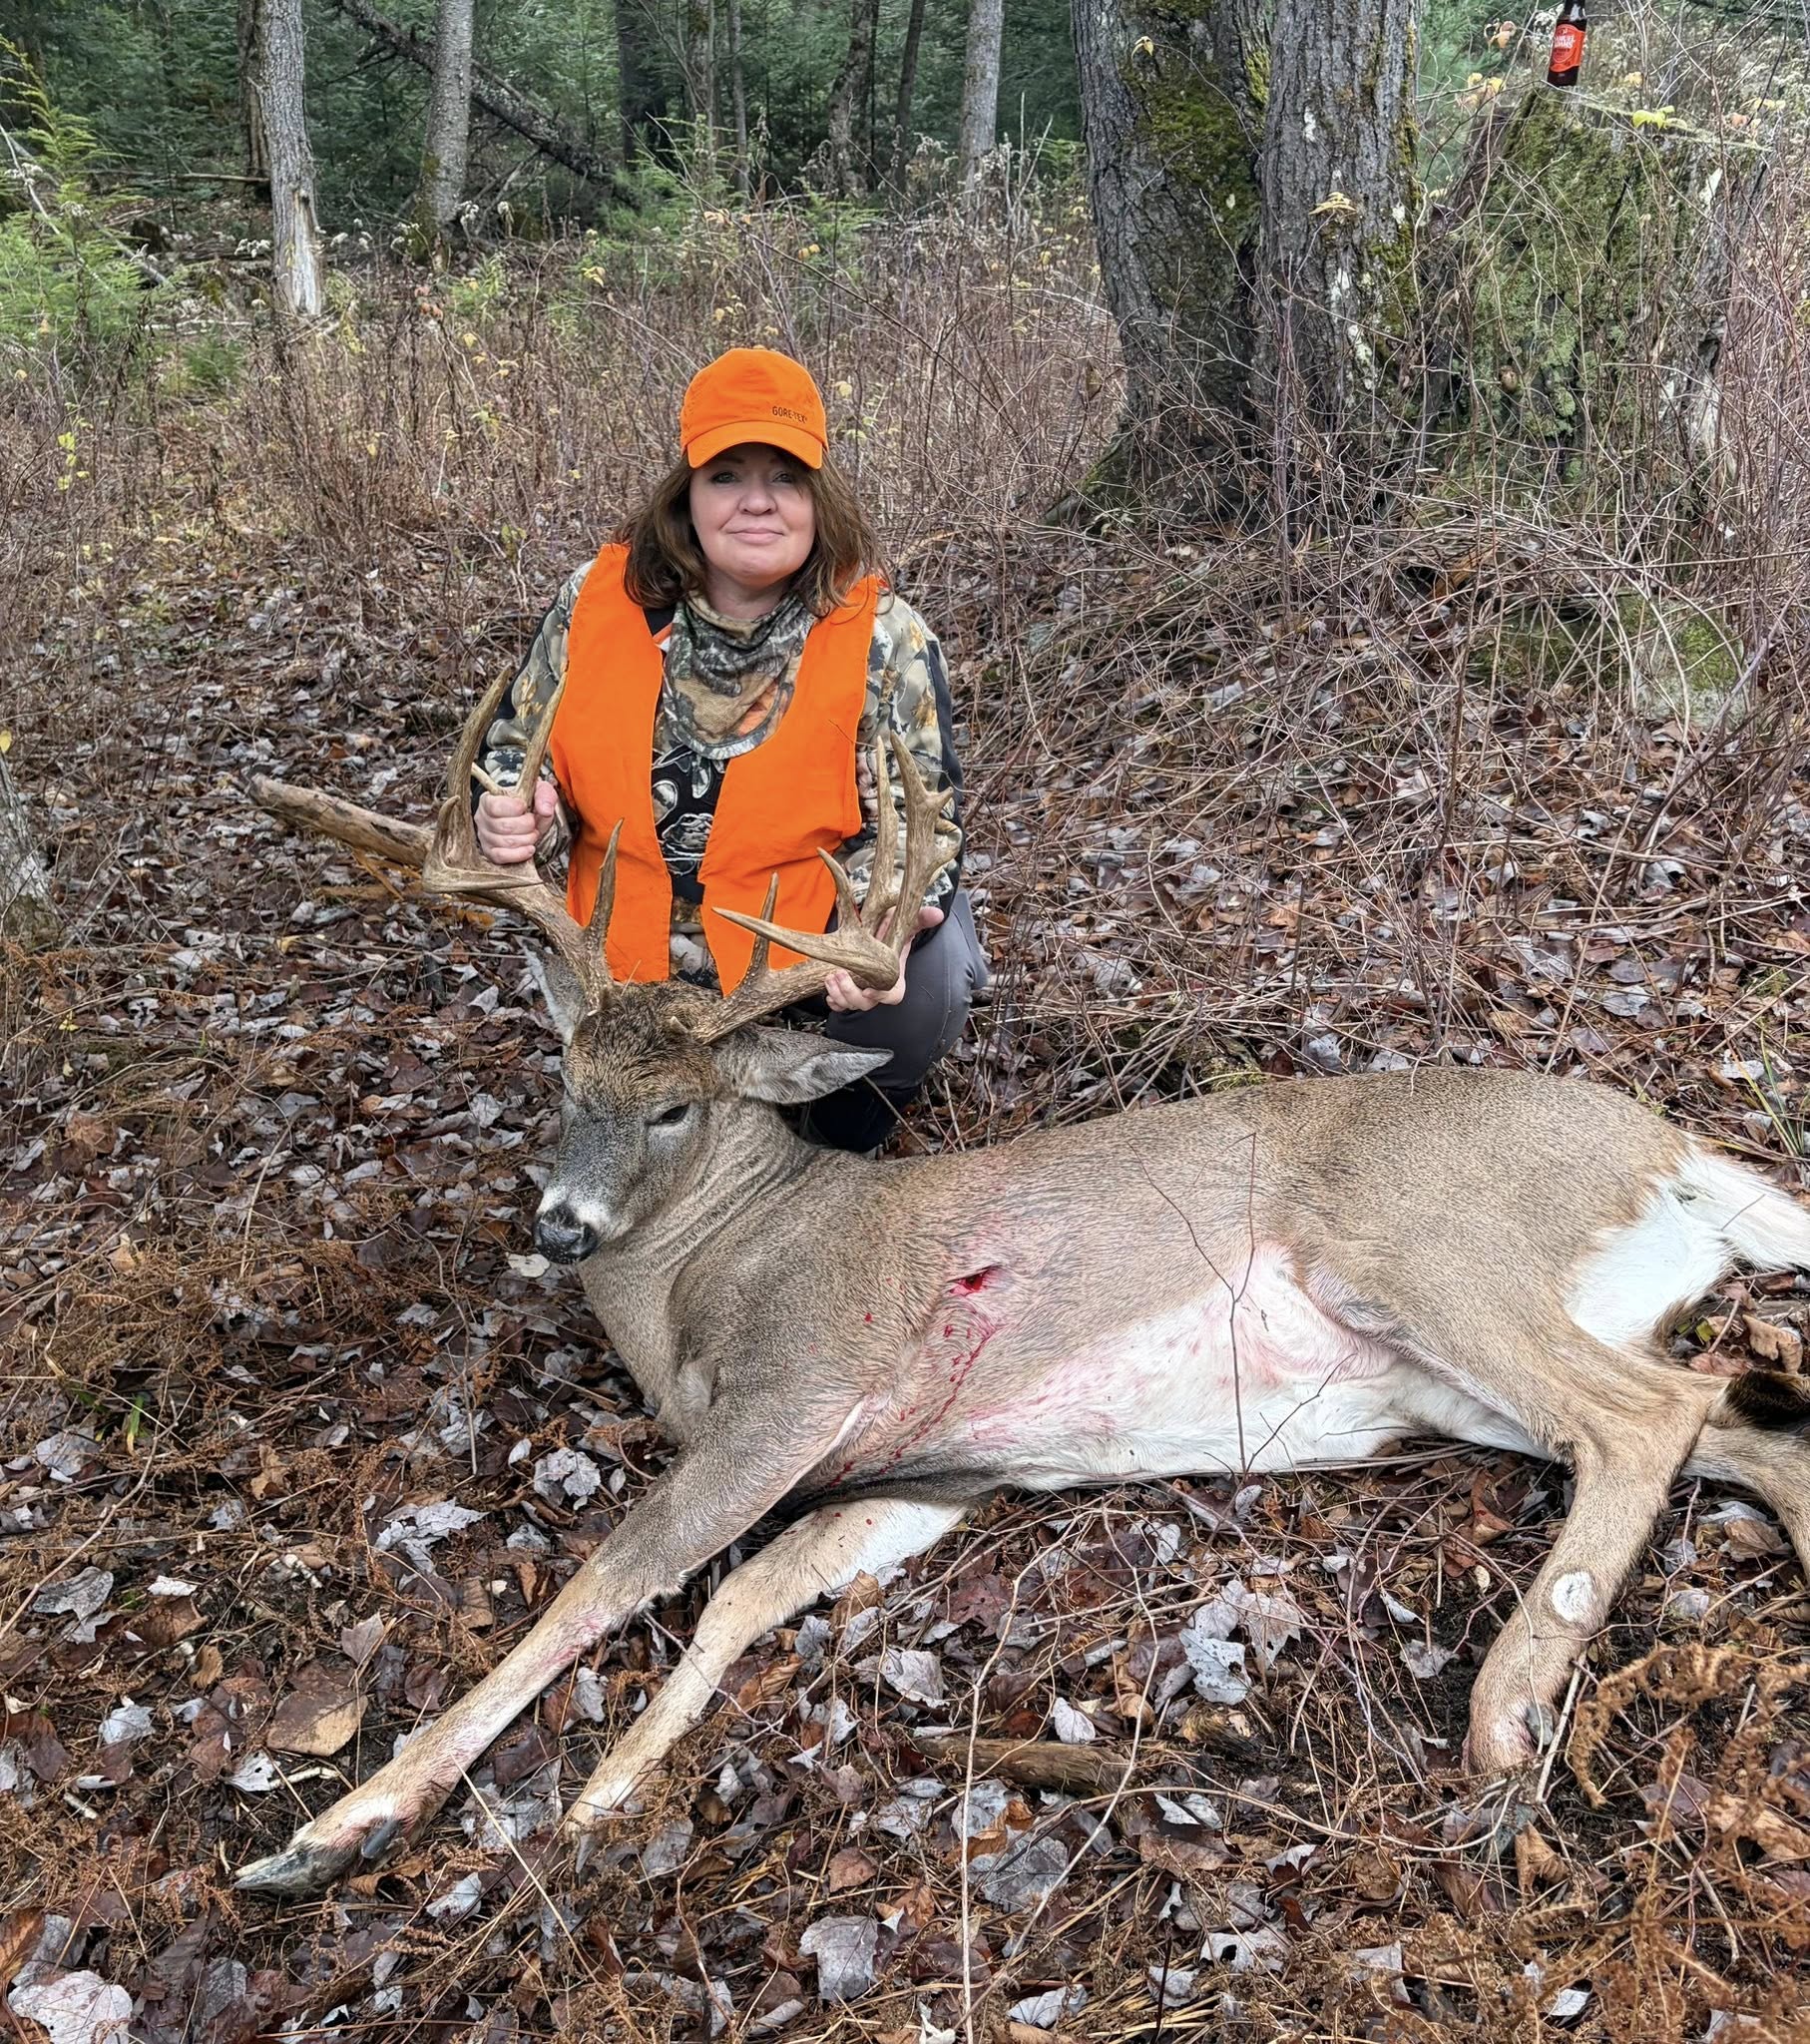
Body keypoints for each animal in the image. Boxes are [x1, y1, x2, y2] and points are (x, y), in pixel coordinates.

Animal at [236, 664, 1810, 1897]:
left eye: (677, 1106)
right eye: (567, 1075)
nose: (561, 1227)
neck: (703, 1282)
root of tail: (1668, 1144)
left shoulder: (802, 1384)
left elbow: (614, 1577)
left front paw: (342, 1826)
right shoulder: (941, 1470)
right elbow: (750, 1593)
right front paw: (605, 1786)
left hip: (1426, 1251)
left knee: (1645, 1418)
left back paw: (1500, 1719)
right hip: (1451, 1369)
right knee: (1731, 1417)